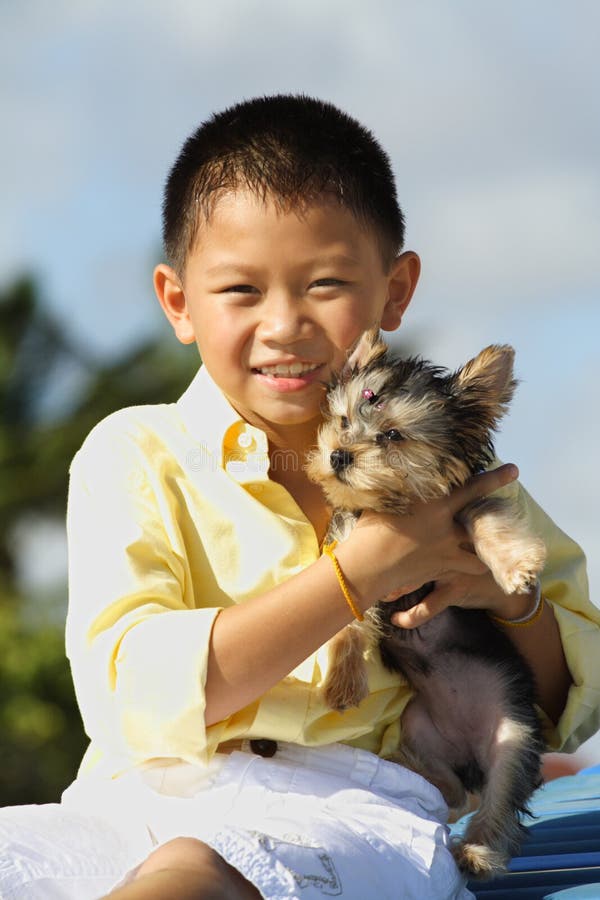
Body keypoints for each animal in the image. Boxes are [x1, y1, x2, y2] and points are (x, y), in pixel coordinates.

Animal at [308, 330, 548, 880]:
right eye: (344, 421)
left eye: (394, 436)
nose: (339, 456)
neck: (393, 506)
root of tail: (469, 754)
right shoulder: (347, 545)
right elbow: (347, 617)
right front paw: (344, 680)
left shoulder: (462, 502)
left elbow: (486, 518)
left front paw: (515, 565)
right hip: (419, 726)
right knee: (453, 789)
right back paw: (421, 775)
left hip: (514, 732)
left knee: (498, 794)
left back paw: (477, 852)